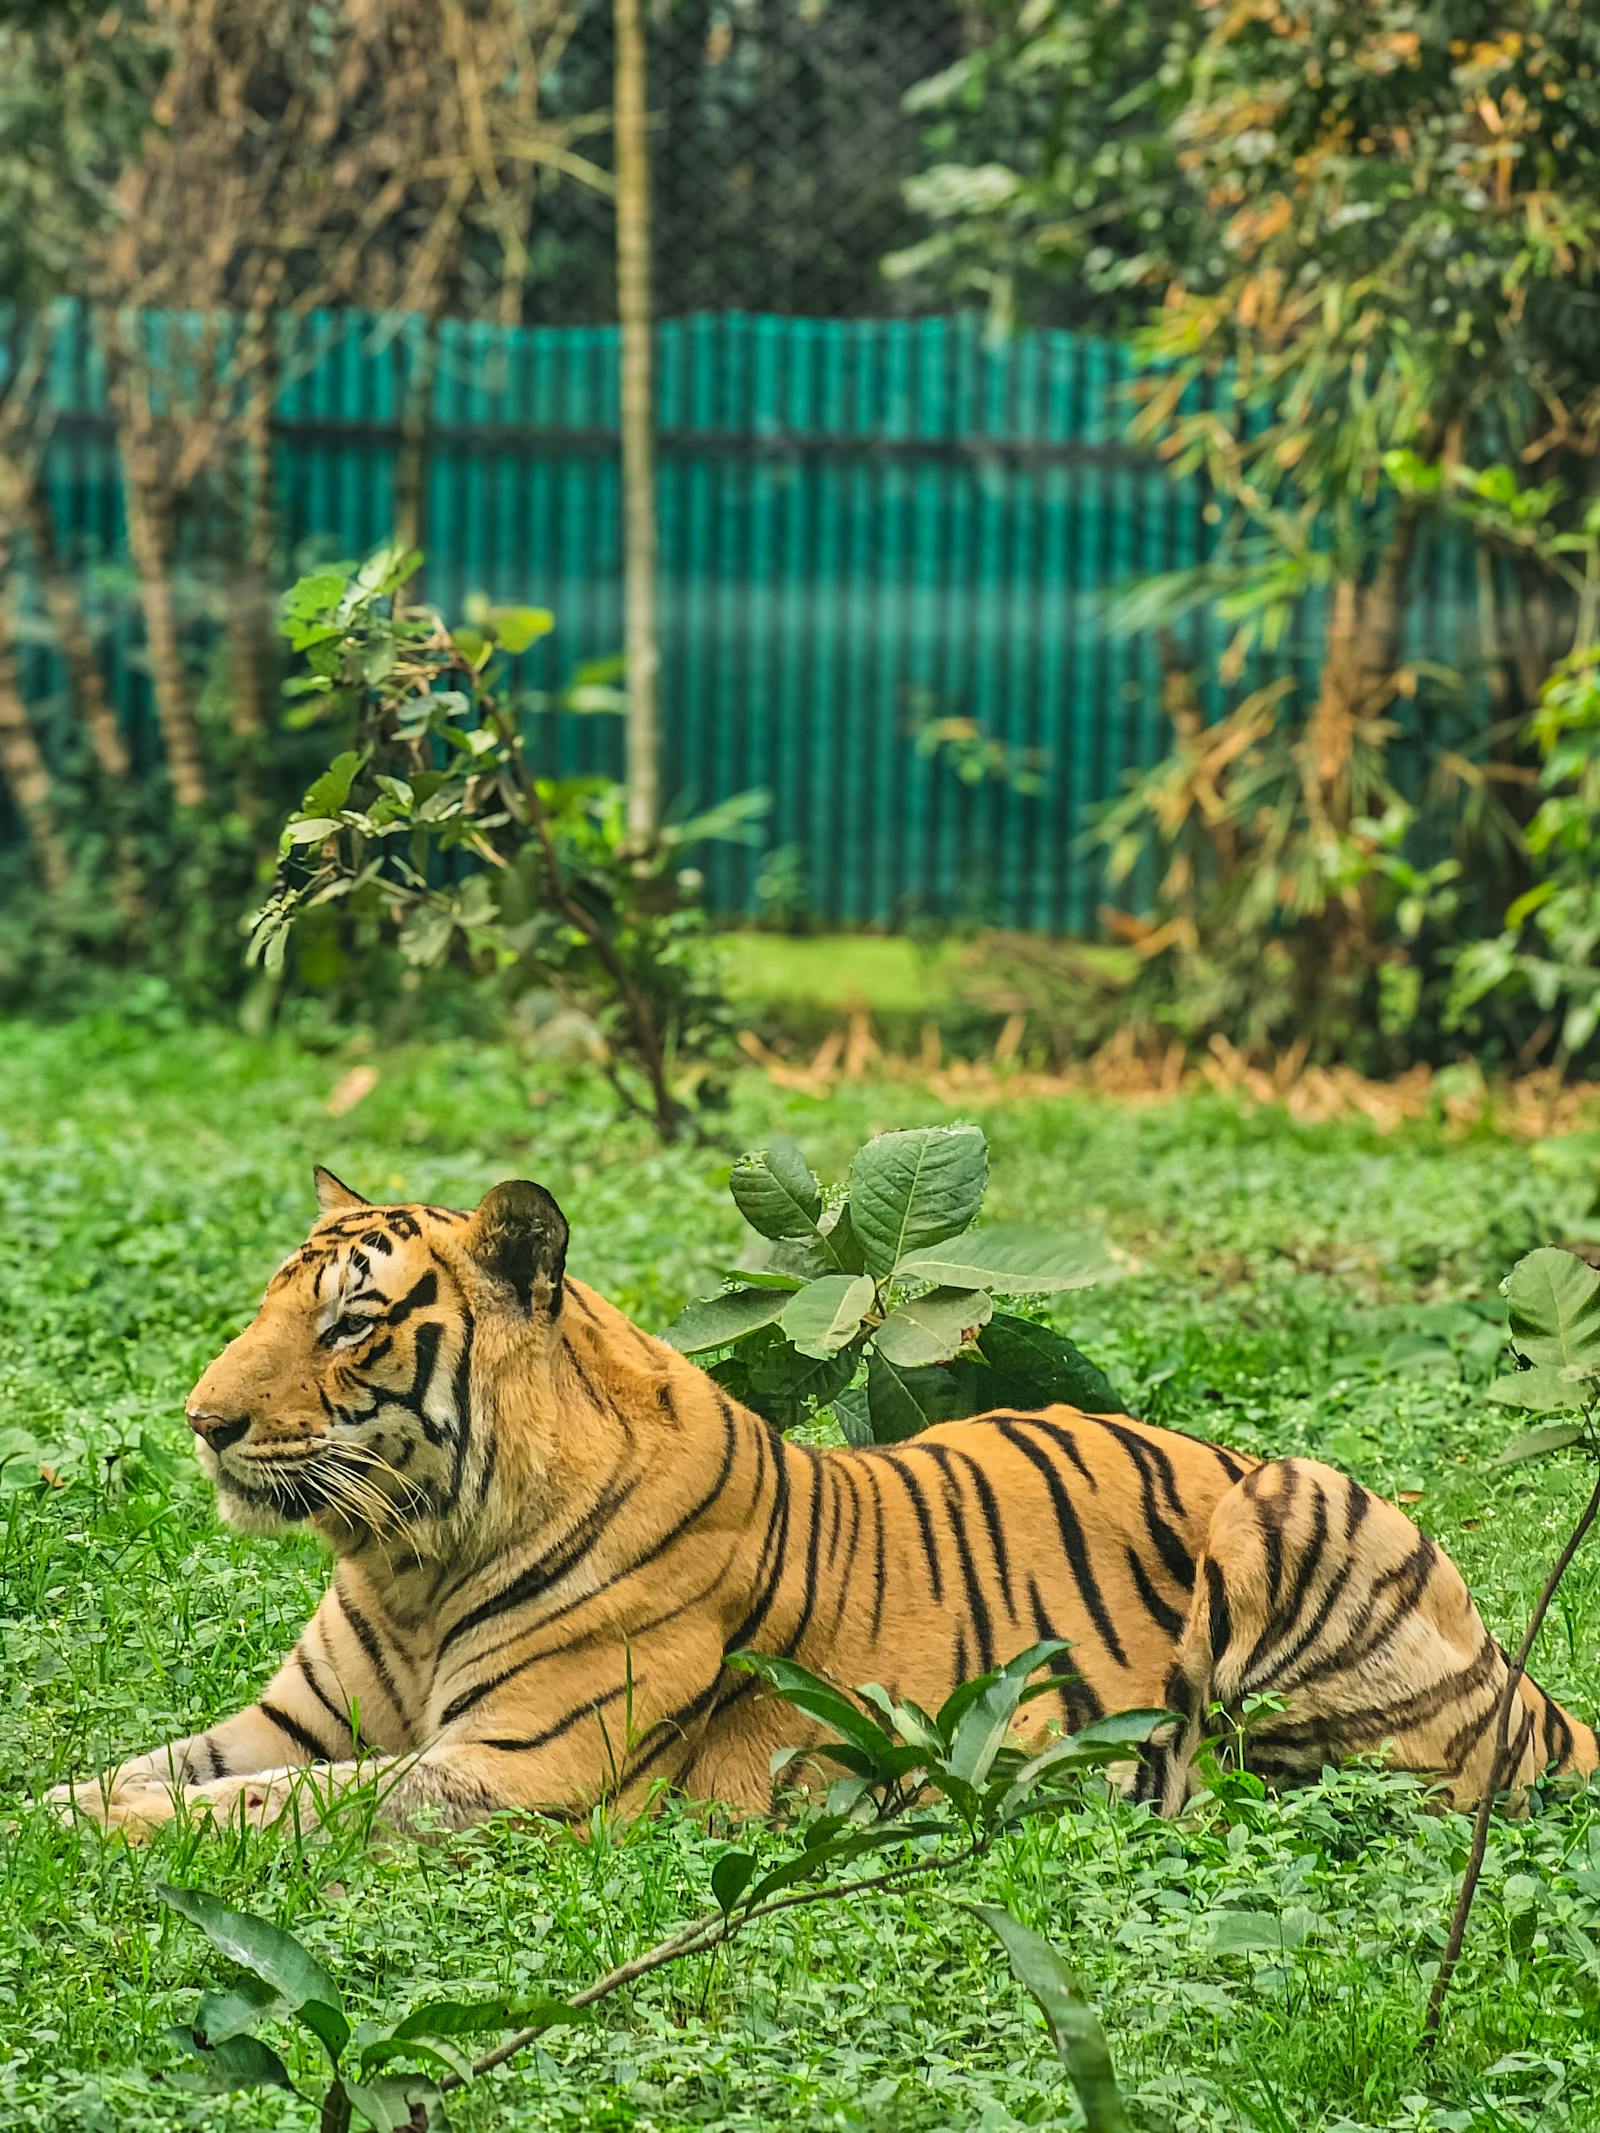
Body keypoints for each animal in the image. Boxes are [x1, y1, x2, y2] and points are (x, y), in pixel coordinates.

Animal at [50, 1168, 1598, 1839]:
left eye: (351, 1324)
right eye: (272, 1306)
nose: (202, 1423)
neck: (409, 1558)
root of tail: (1523, 1680)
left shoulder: (507, 1768)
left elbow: (269, 1808)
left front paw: (76, 1838)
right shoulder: (298, 1716)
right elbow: (171, 1768)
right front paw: (69, 1799)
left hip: (1292, 1511)